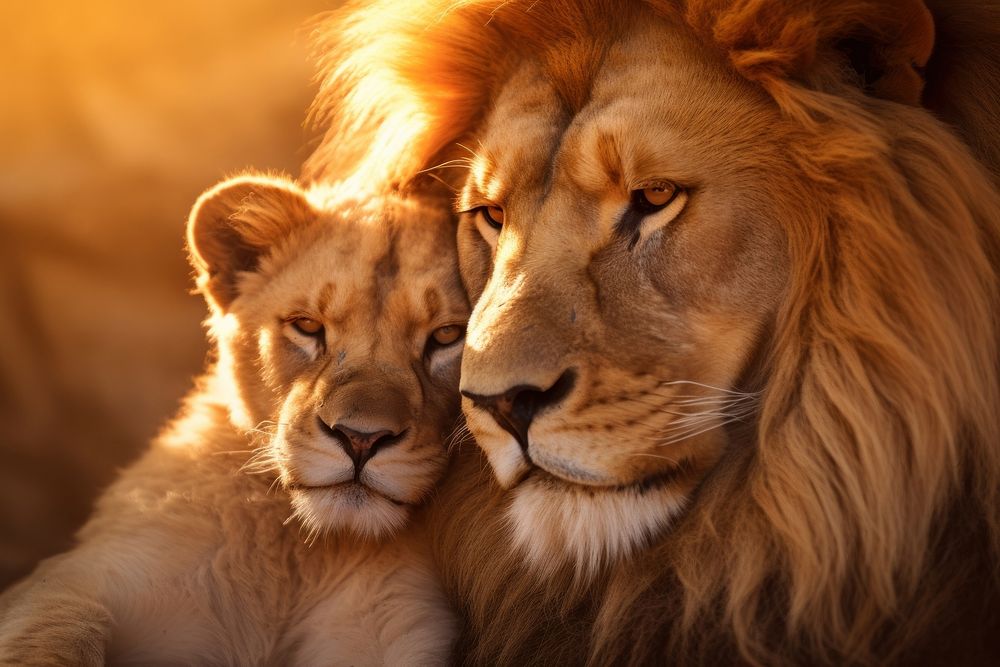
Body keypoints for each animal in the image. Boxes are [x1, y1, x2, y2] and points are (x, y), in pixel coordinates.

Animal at [0, 173, 468, 665]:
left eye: (447, 336)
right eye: (306, 326)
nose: (360, 439)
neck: (298, 553)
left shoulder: (394, 631)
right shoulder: (83, 580)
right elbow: (54, 634)